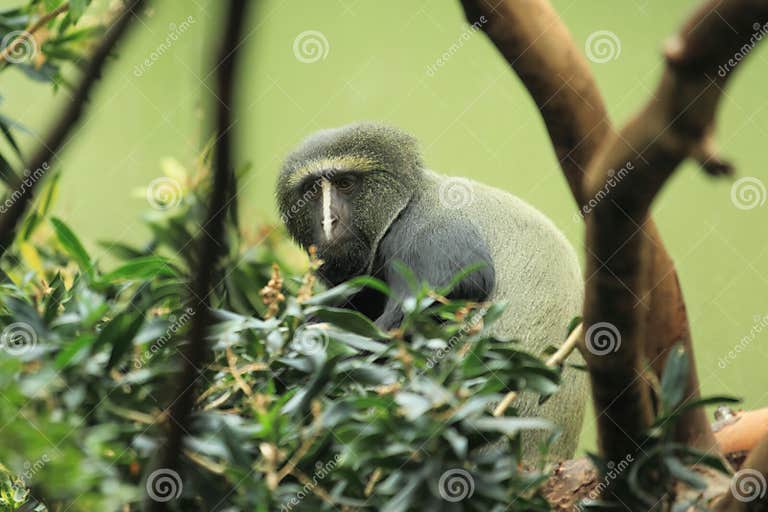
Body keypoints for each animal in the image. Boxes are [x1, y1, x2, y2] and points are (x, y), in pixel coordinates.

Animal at [276, 122, 586, 461]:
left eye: (345, 184)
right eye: (312, 190)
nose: (327, 221)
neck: (403, 202)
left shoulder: (427, 230)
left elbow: (452, 290)